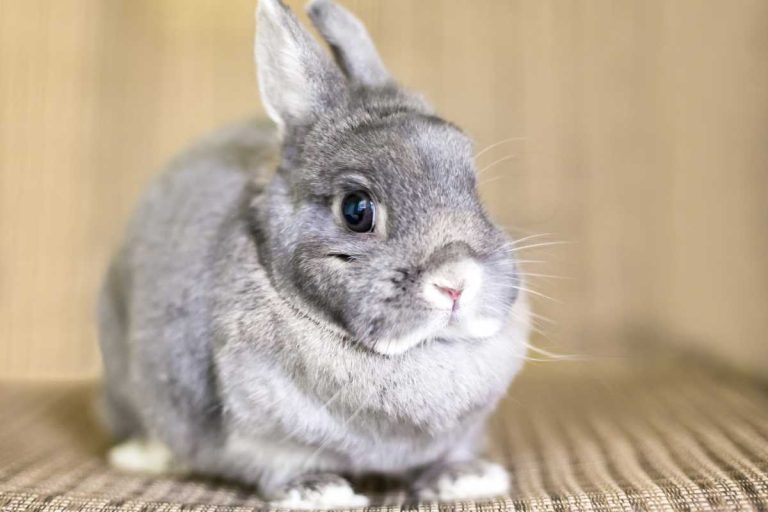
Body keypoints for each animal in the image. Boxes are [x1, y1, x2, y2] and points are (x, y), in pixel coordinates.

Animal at [98, 0, 531, 508]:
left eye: (472, 185)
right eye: (357, 210)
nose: (456, 281)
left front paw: (467, 479)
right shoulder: (259, 436)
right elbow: (278, 466)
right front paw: (319, 491)